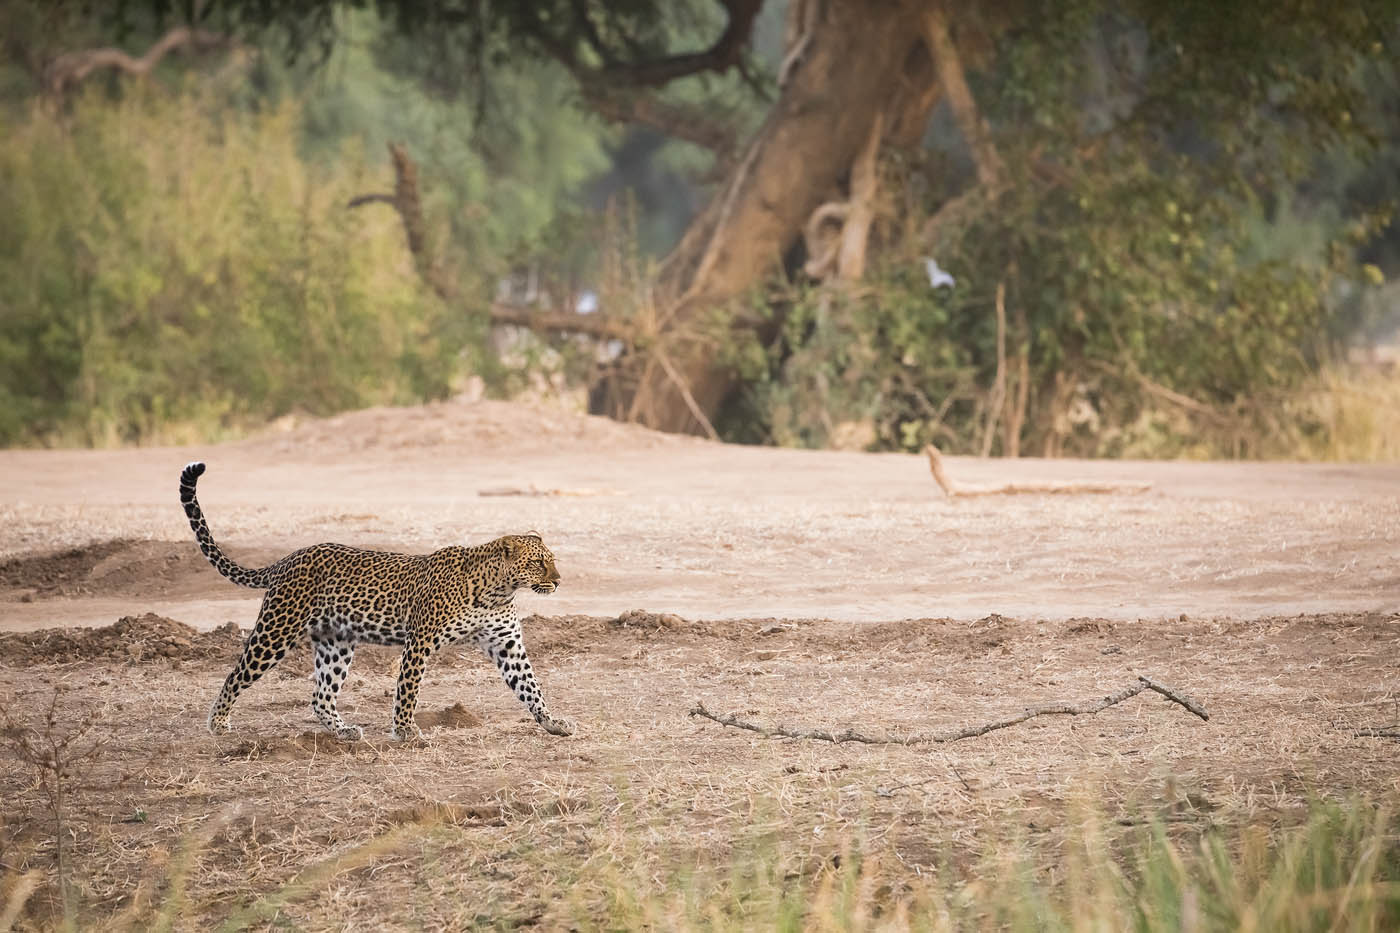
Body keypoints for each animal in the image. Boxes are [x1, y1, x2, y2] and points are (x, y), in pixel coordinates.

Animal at [179, 461, 574, 741]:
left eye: (551, 560)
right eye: (538, 562)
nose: (558, 580)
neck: (497, 591)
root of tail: (288, 559)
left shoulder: (506, 644)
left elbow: (530, 686)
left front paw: (552, 722)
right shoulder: (420, 641)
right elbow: (408, 688)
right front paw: (405, 730)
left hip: (335, 643)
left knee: (320, 696)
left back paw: (343, 731)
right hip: (275, 632)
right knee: (236, 674)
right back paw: (218, 722)